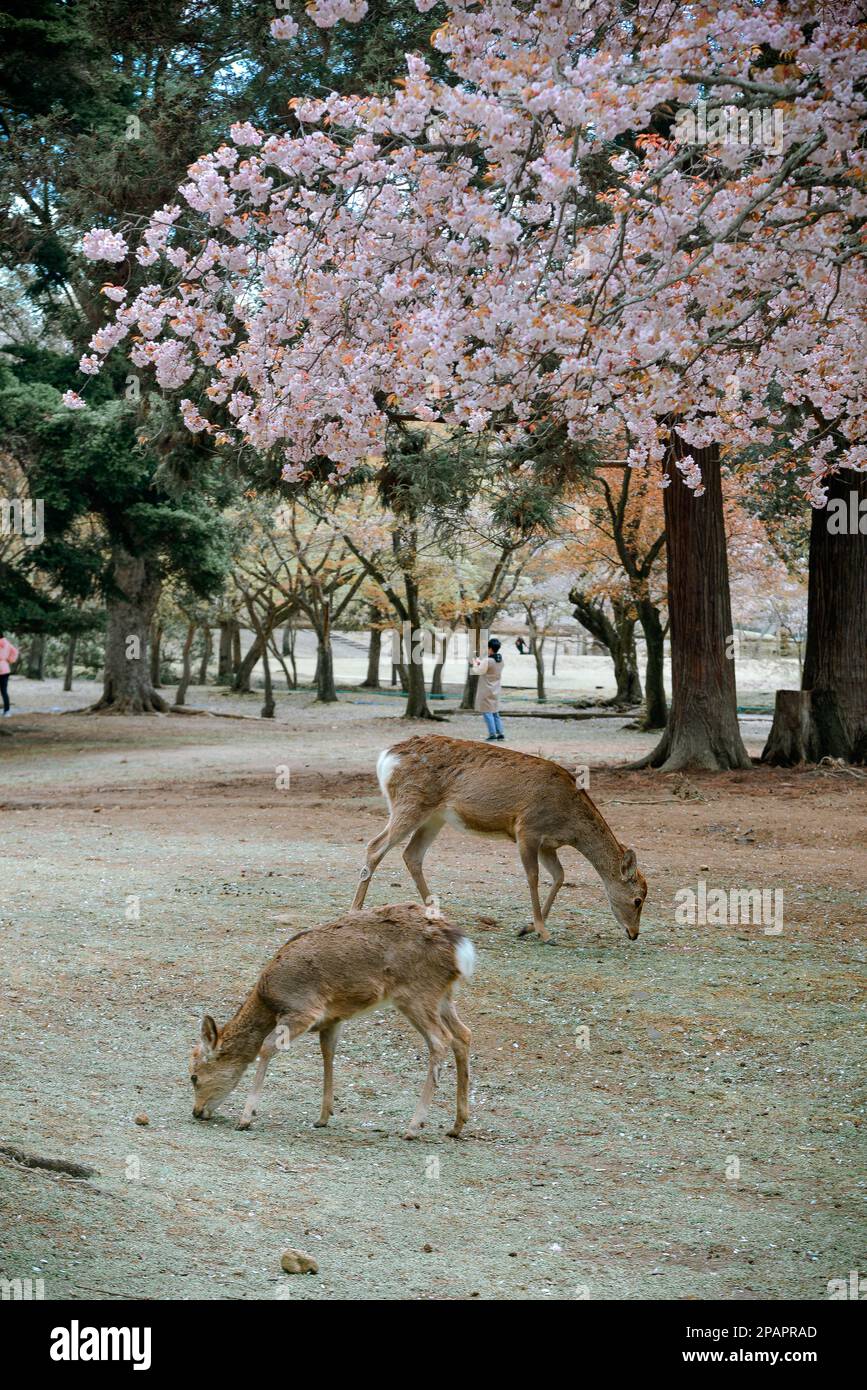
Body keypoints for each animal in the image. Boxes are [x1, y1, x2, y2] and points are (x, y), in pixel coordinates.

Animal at [188, 902, 474, 1139]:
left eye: (193, 1076)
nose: (196, 1111)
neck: (268, 1000)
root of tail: (461, 948)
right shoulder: (333, 1019)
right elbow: (328, 1053)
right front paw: (323, 1116)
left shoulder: (303, 1010)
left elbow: (266, 1047)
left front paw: (246, 1118)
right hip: (443, 995)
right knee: (463, 1034)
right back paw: (457, 1125)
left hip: (415, 994)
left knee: (440, 1040)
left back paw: (414, 1127)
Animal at [352, 735, 647, 943]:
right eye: (637, 900)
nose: (634, 933)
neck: (569, 823)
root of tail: (386, 758)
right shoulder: (527, 829)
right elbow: (533, 877)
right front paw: (543, 932)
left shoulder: (548, 843)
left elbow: (559, 876)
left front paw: (527, 928)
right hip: (410, 803)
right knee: (375, 846)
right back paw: (355, 911)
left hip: (434, 817)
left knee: (411, 855)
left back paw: (437, 914)